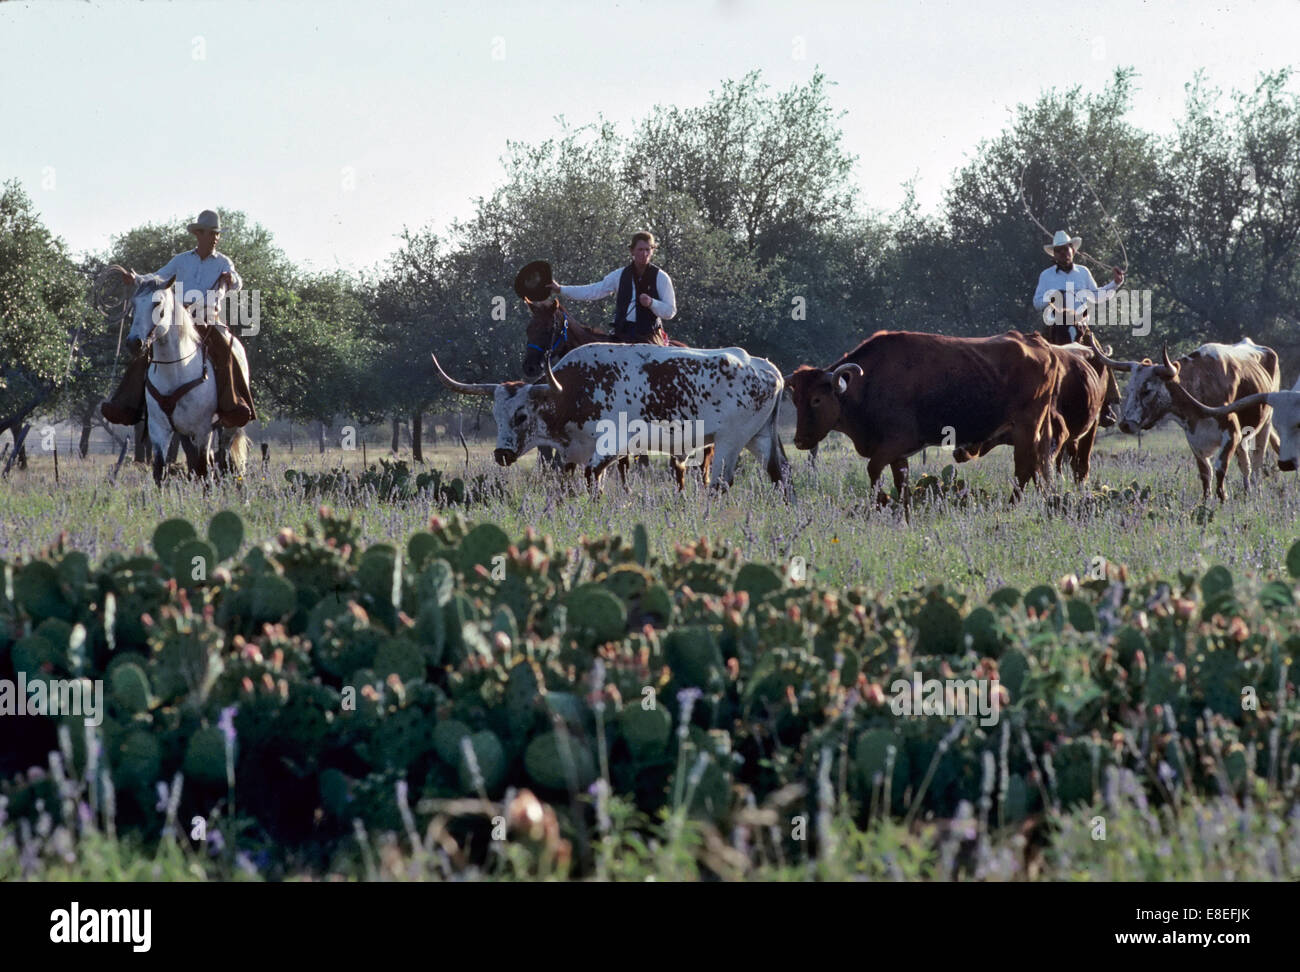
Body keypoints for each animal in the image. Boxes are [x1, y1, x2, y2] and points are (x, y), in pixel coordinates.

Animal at [431, 343, 788, 490]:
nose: (501, 454)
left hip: (731, 441)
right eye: (496, 416)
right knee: (780, 472)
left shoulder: (611, 445)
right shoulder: (574, 452)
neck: (572, 389)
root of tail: (764, 366)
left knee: (719, 483)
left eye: (520, 415)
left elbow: (593, 478)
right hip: (759, 437)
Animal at [785, 330, 1066, 507]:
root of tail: (1039, 344)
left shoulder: (894, 444)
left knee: (1024, 468)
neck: (870, 382)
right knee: (1037, 467)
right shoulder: (897, 454)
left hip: (1026, 429)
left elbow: (873, 471)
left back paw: (1011, 505)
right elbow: (901, 483)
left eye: (816, 399)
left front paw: (882, 502)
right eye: (795, 399)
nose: (799, 441)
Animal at [1097, 339, 1281, 501]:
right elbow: (1205, 473)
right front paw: (1206, 500)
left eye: (1146, 390)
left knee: (1256, 464)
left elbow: (1219, 469)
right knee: (1245, 465)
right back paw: (1247, 493)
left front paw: (1222, 499)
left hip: (1265, 424)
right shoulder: (1194, 438)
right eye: (1129, 389)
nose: (1125, 424)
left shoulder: (1231, 434)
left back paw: (1257, 493)